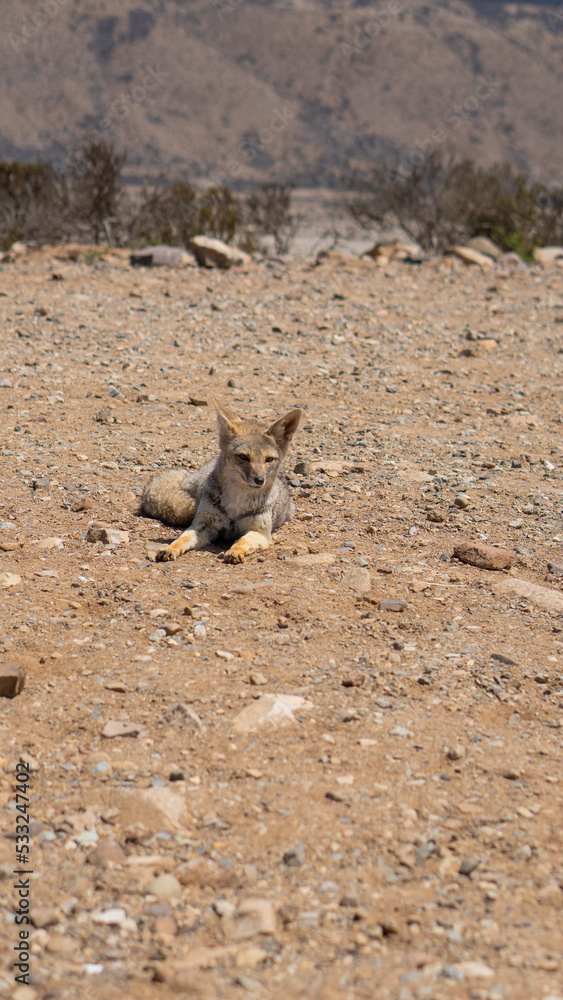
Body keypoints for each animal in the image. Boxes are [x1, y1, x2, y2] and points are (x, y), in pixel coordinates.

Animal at [141, 399, 302, 564]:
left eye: (269, 459)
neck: (237, 501)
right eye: (243, 457)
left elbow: (241, 541)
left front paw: (235, 552)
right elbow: (183, 538)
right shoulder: (204, 524)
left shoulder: (260, 532)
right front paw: (170, 548)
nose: (259, 480)